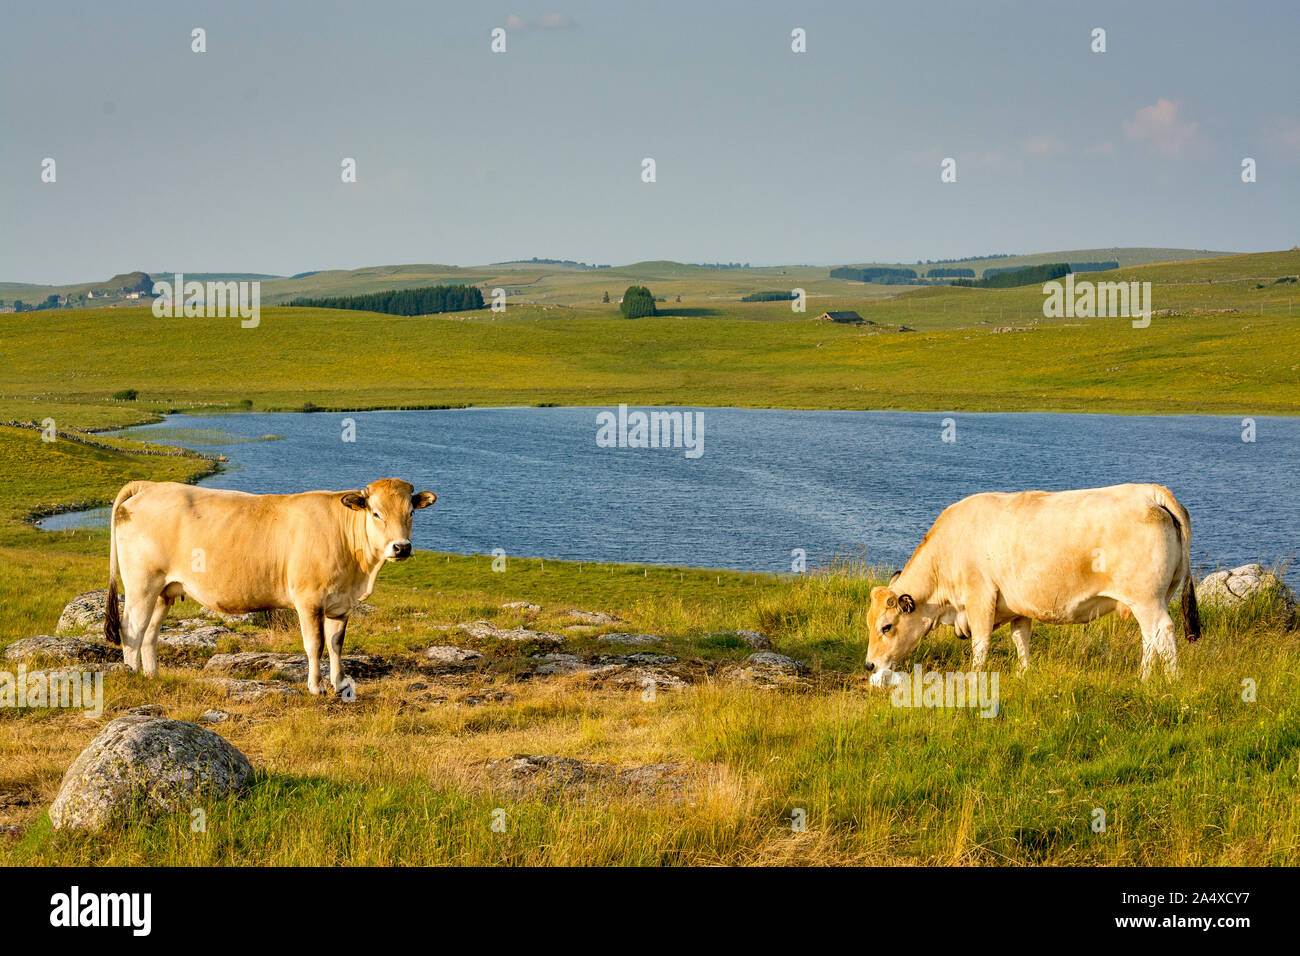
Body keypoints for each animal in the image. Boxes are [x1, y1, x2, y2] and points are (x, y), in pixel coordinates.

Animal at [103, 478, 437, 696]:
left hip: (164, 590)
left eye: (411, 513)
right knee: (132, 630)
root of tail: (150, 486)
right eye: (376, 513)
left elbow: (336, 643)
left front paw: (340, 684)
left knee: (150, 633)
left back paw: (153, 677)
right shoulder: (308, 599)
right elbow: (315, 644)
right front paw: (316, 687)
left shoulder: (341, 604)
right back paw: (133, 676)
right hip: (142, 584)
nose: (401, 547)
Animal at [864, 483, 1200, 683]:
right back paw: (1144, 677)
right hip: (1150, 600)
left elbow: (980, 645)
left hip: (1146, 599)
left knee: (1163, 632)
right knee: (1150, 638)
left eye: (886, 626)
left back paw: (1166, 681)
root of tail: (1149, 492)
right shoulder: (1017, 606)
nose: (870, 665)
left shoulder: (980, 596)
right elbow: (1021, 640)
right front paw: (1023, 674)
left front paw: (974, 677)